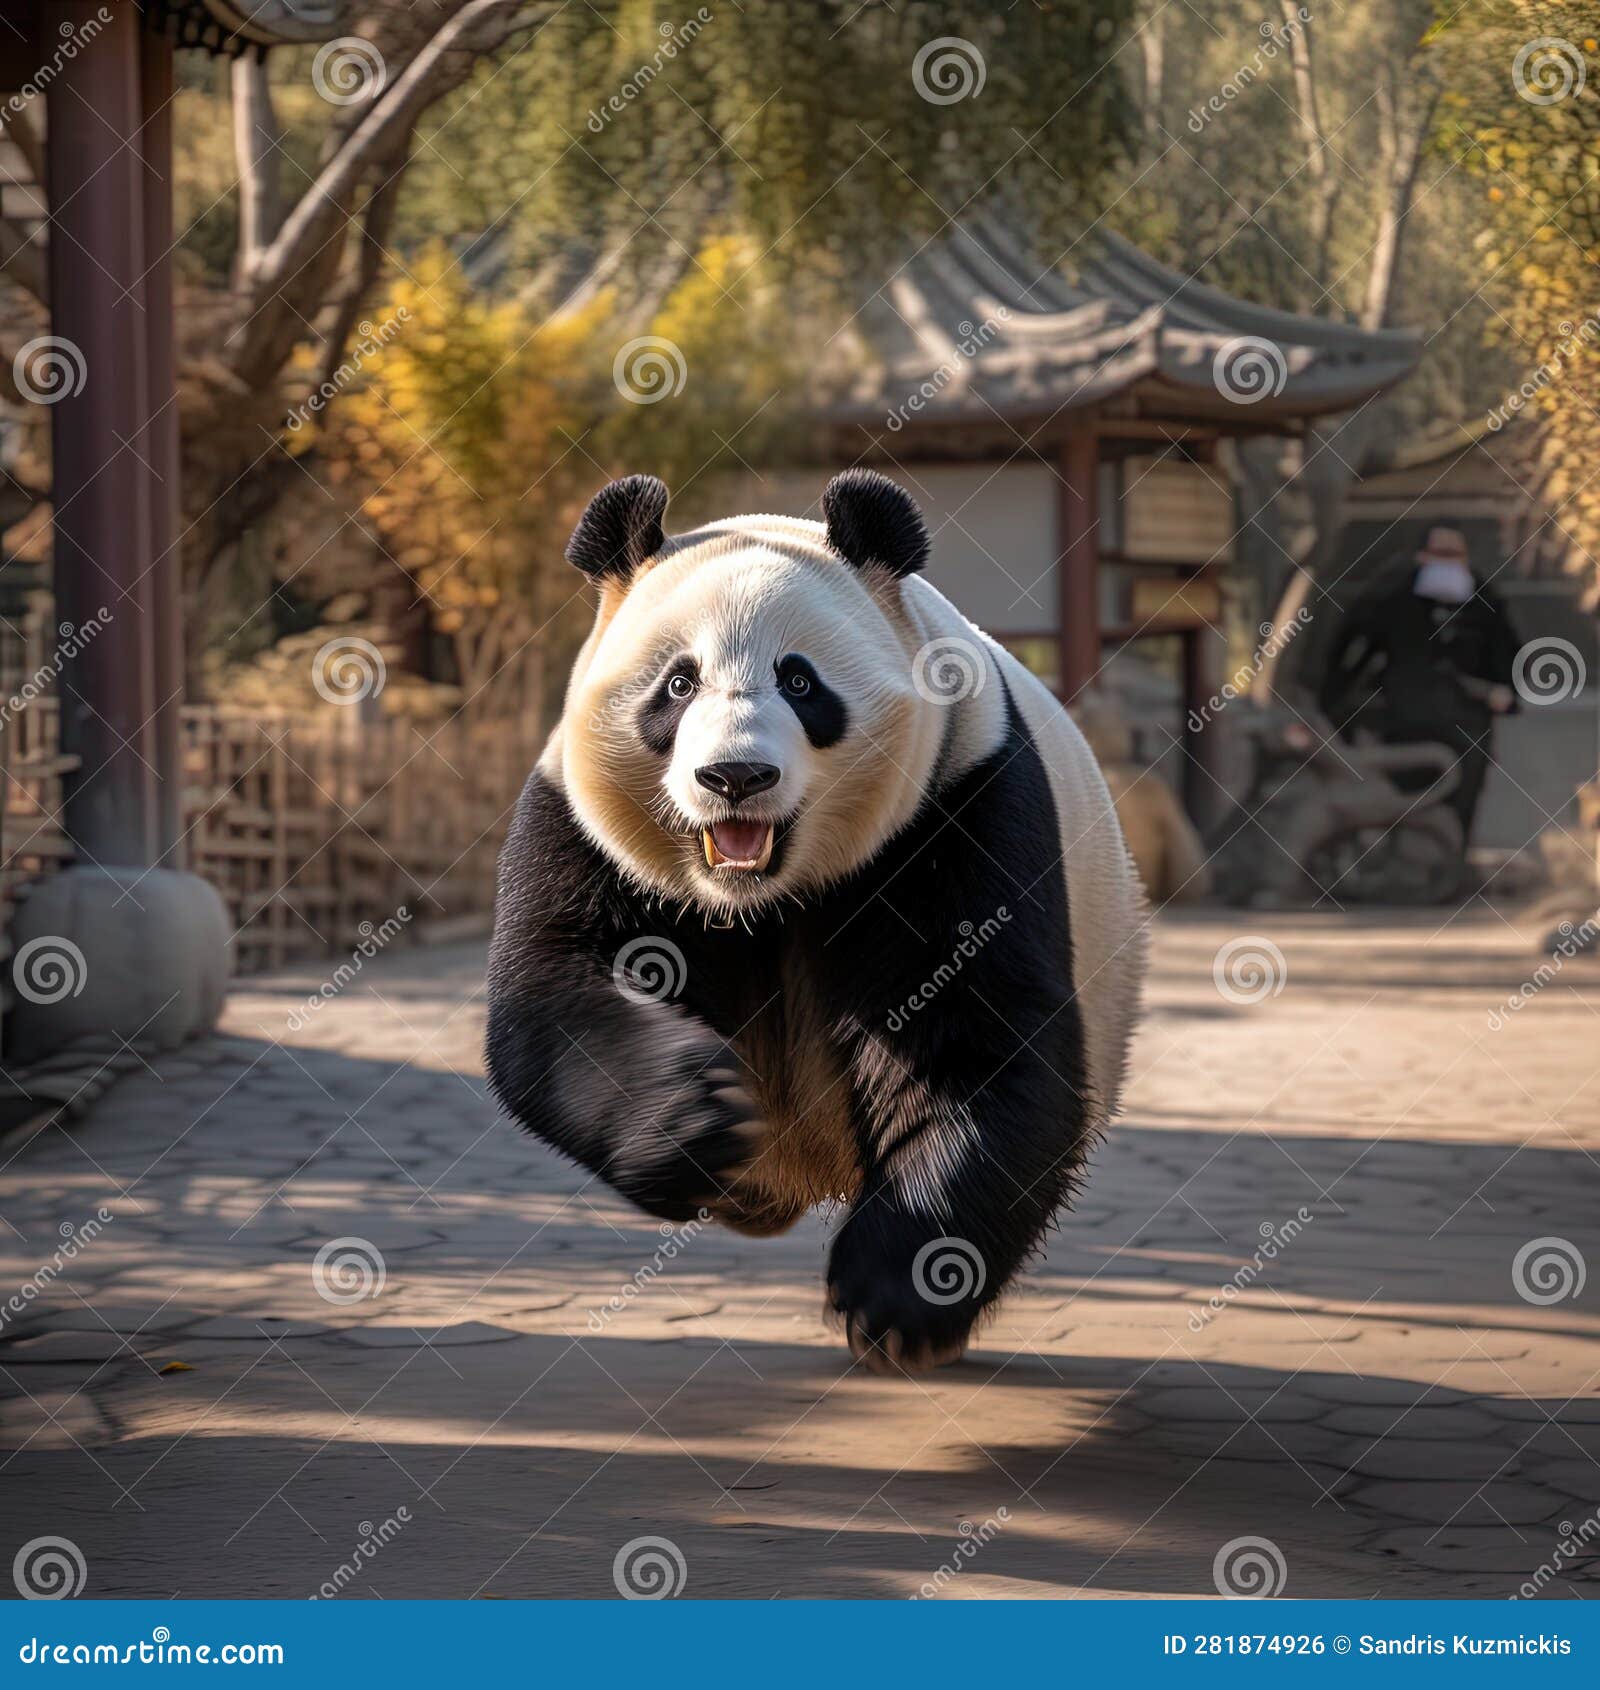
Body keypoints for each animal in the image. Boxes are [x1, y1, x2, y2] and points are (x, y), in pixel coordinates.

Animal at [486, 469, 1147, 1373]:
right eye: (678, 684)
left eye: (800, 683)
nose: (735, 776)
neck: (758, 896)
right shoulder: (579, 820)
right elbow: (554, 994)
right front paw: (698, 1120)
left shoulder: (959, 797)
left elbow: (972, 1038)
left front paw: (898, 1294)